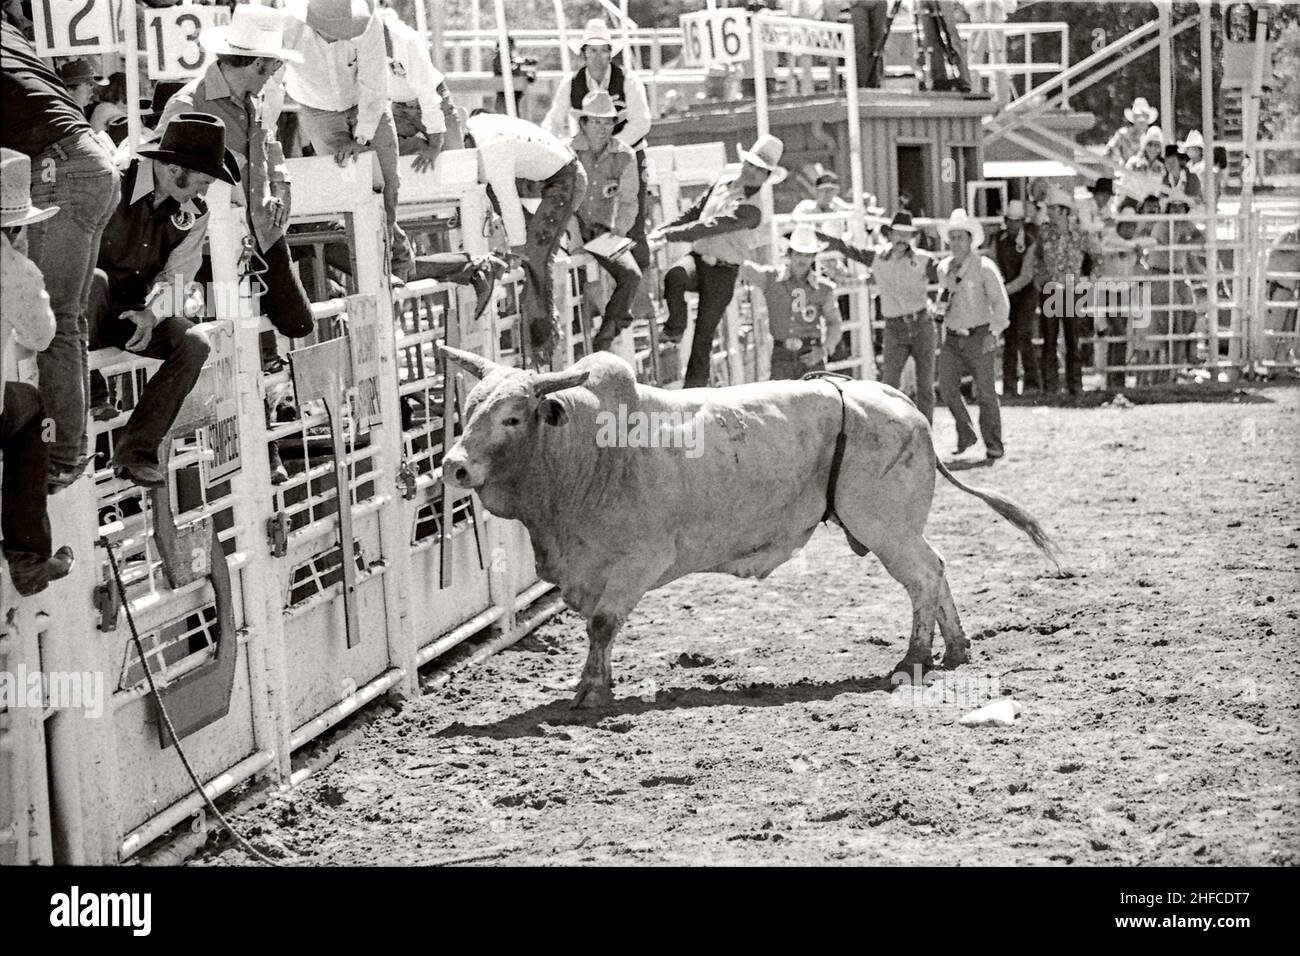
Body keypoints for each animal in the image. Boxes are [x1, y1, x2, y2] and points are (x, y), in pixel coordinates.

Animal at [439, 346, 1060, 708]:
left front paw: (591, 691)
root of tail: (900, 401)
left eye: (512, 417)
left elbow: (602, 624)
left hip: (885, 528)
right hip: (899, 528)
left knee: (924, 577)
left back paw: (913, 660)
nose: (454, 466)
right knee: (937, 571)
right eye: (468, 410)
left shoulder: (639, 561)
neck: (587, 453)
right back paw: (954, 648)